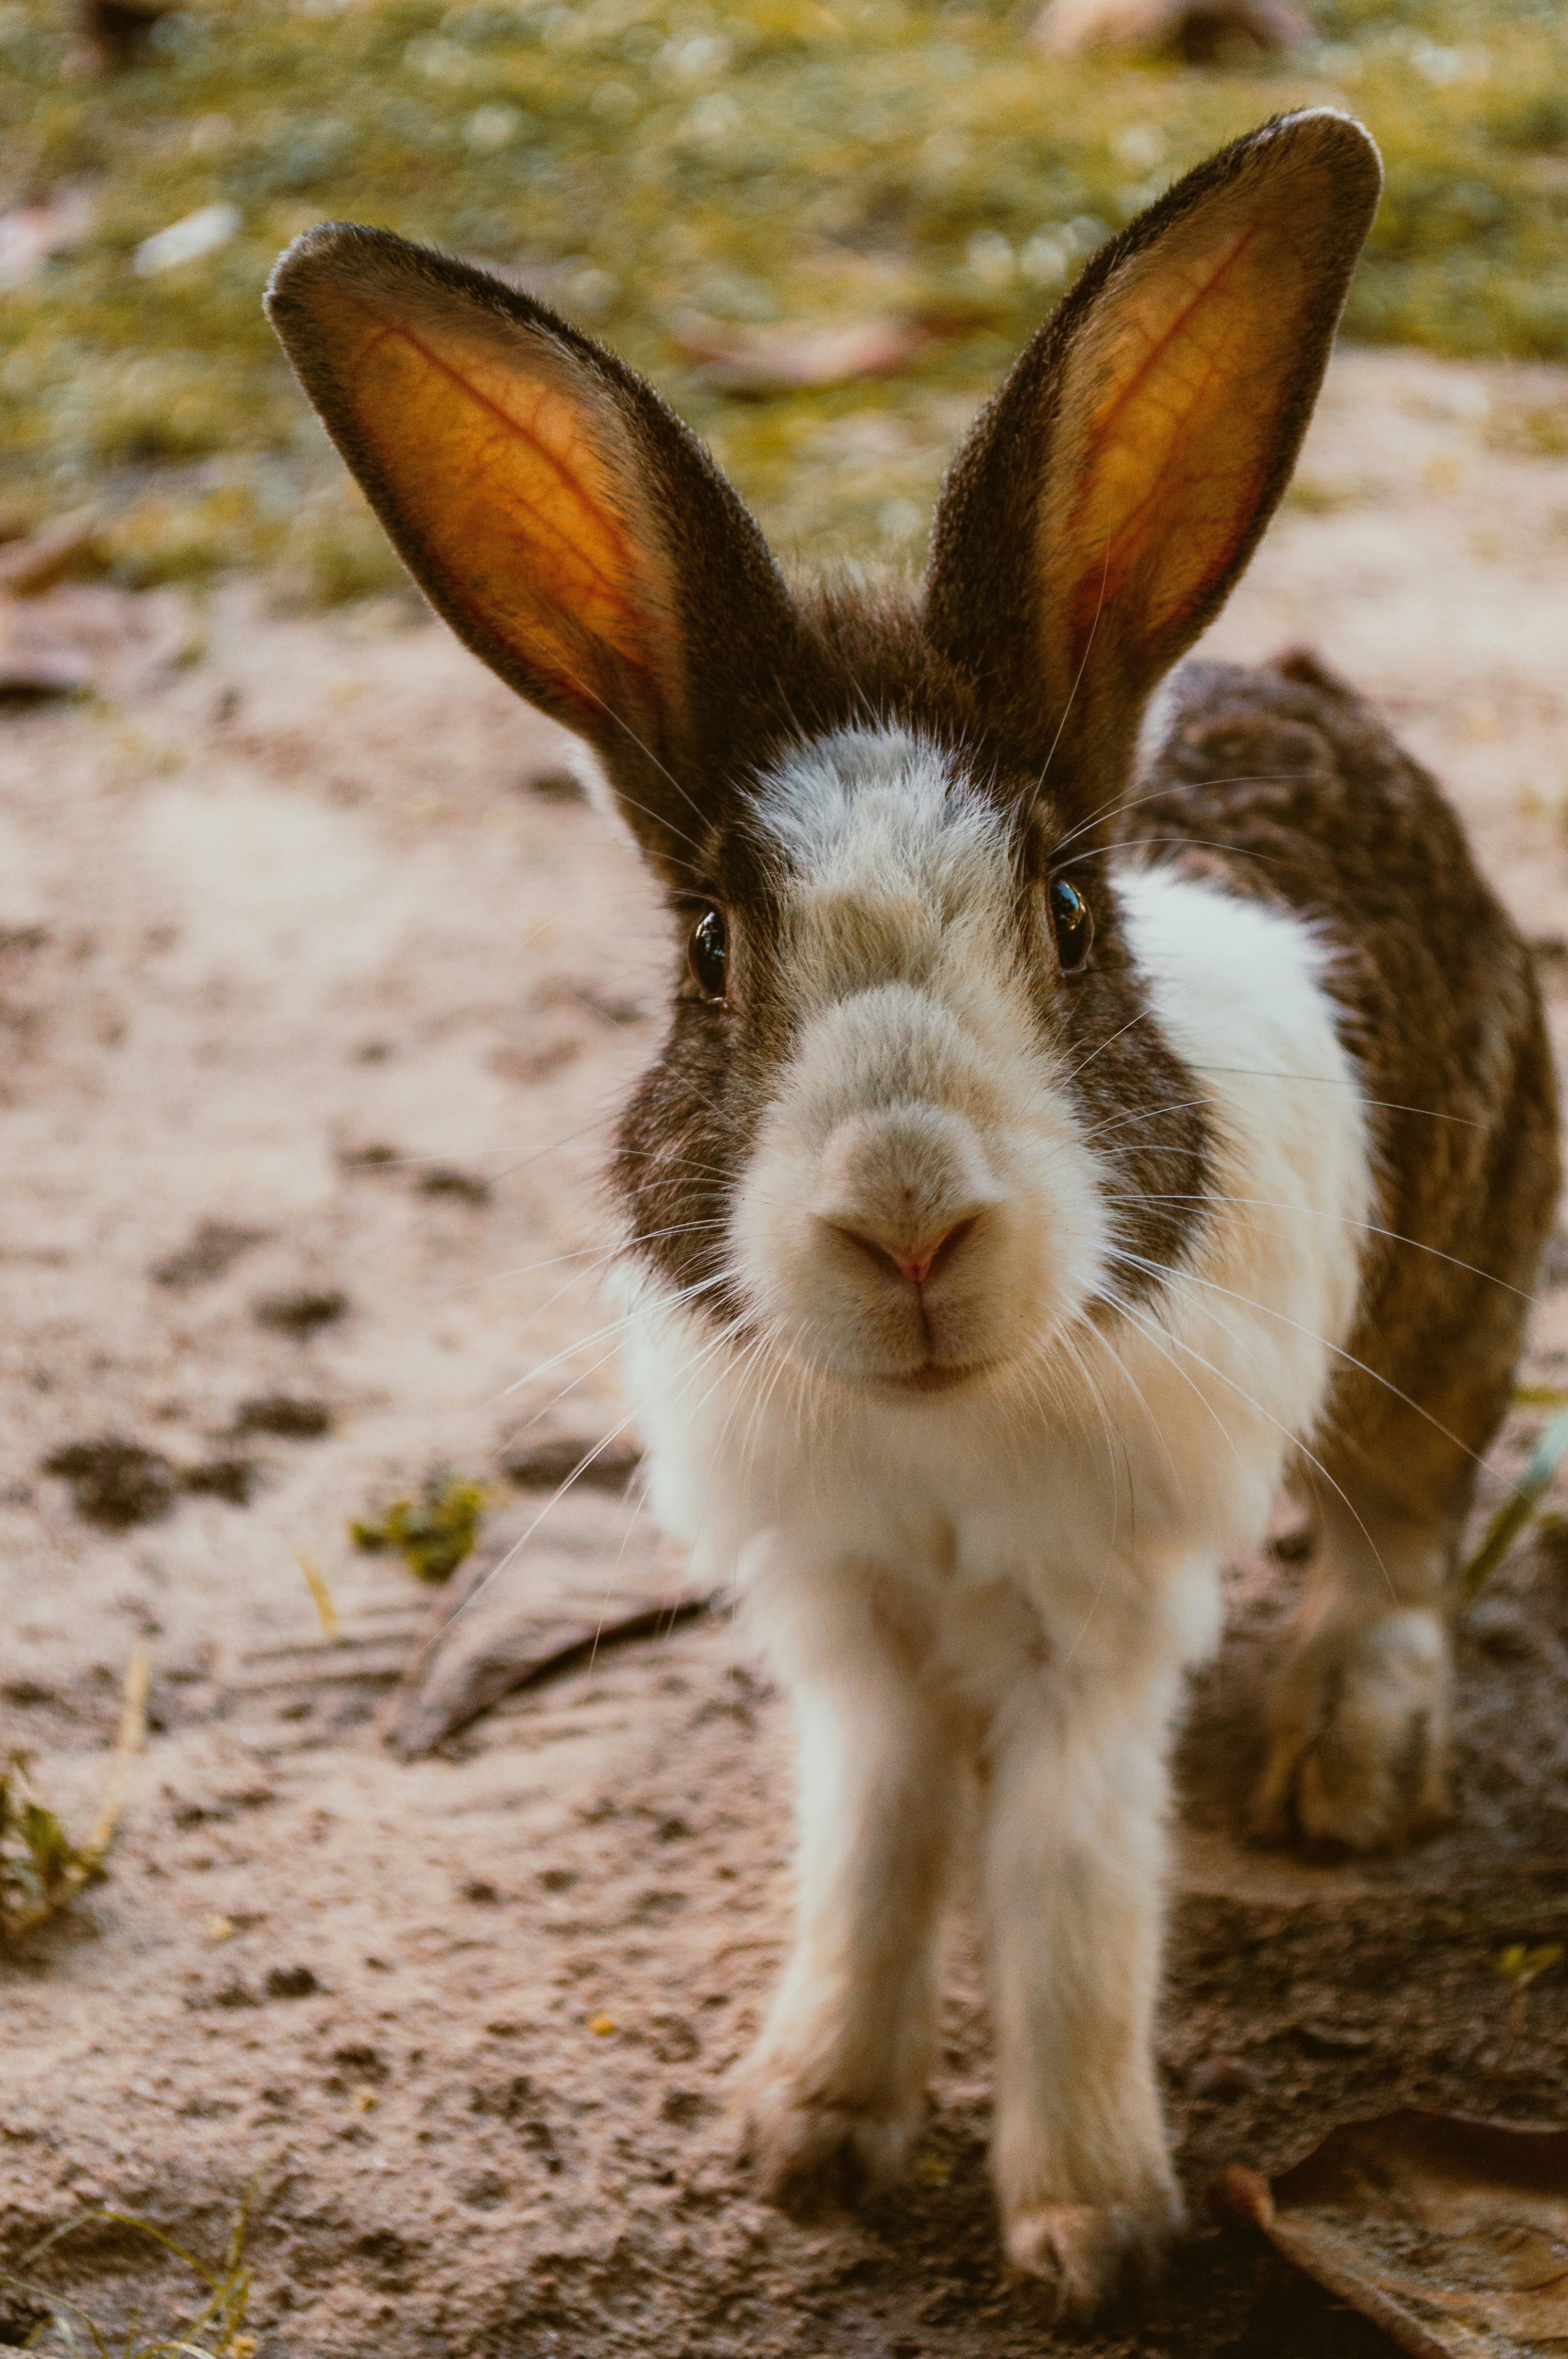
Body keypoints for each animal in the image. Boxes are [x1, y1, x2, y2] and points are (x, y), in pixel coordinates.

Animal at [266, 108, 1559, 2319]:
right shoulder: (842, 1612)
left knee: (1396, 1529)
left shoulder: (1096, 1616)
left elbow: (1066, 1882)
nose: (906, 1225)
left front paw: (1086, 2227)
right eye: (709, 952)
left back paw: (1346, 1762)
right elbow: (873, 1848)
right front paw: (806, 2135)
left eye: (1065, 910)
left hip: (1456, 1274)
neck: (944, 1419)